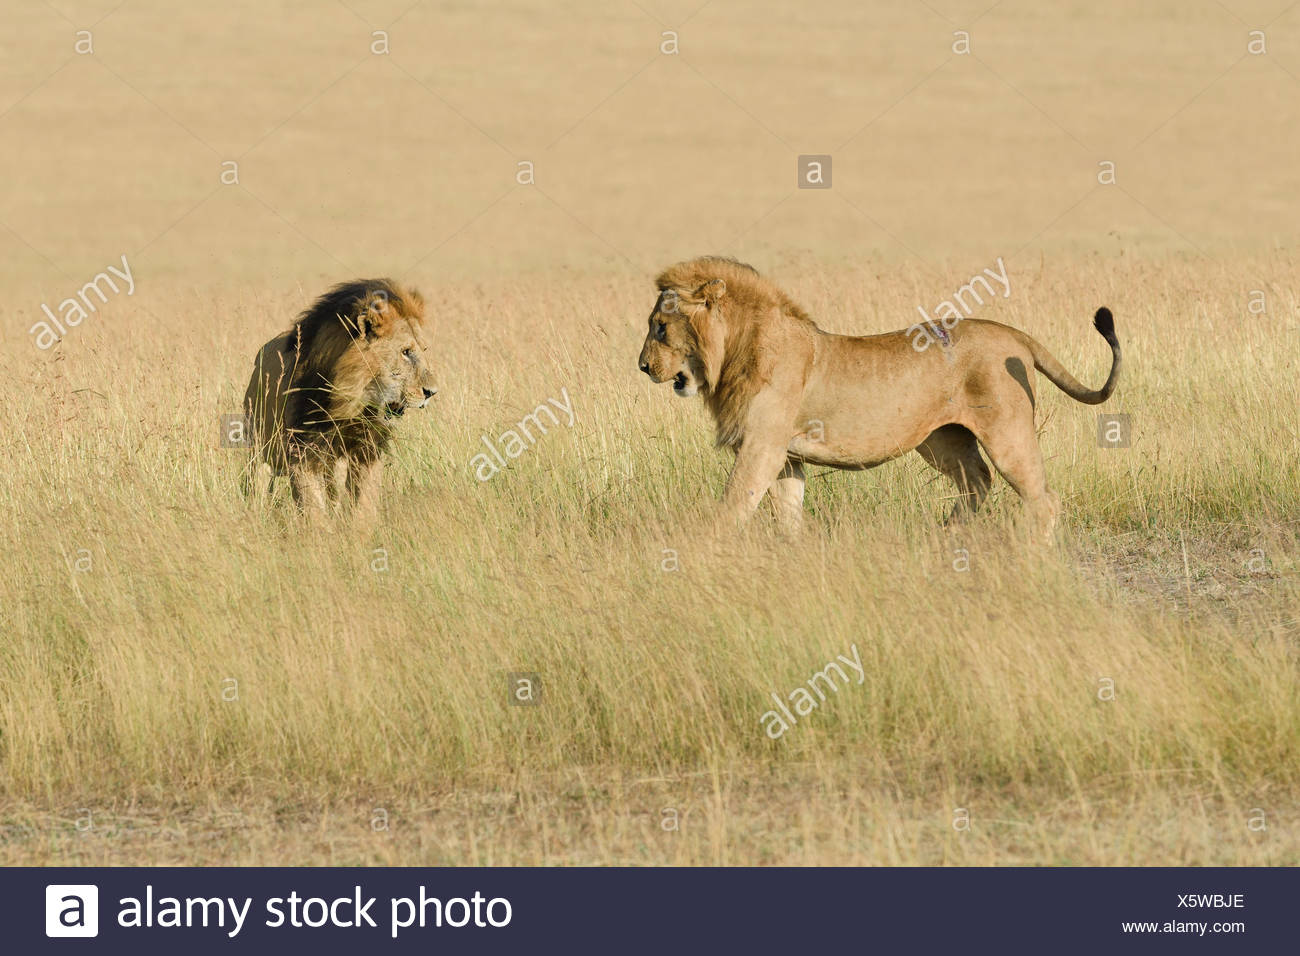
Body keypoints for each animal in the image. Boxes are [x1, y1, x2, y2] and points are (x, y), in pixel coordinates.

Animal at [241, 278, 437, 525]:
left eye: (424, 350)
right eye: (406, 351)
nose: (432, 392)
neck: (348, 407)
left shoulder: (367, 453)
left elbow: (363, 505)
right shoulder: (302, 454)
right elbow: (313, 510)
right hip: (258, 450)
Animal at [637, 257, 1121, 541]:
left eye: (659, 327)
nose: (642, 366)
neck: (736, 351)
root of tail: (1017, 334)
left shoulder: (762, 445)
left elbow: (734, 506)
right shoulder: (787, 456)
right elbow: (787, 513)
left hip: (1006, 432)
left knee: (1042, 500)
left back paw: (1030, 556)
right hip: (944, 439)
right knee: (977, 481)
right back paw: (947, 537)